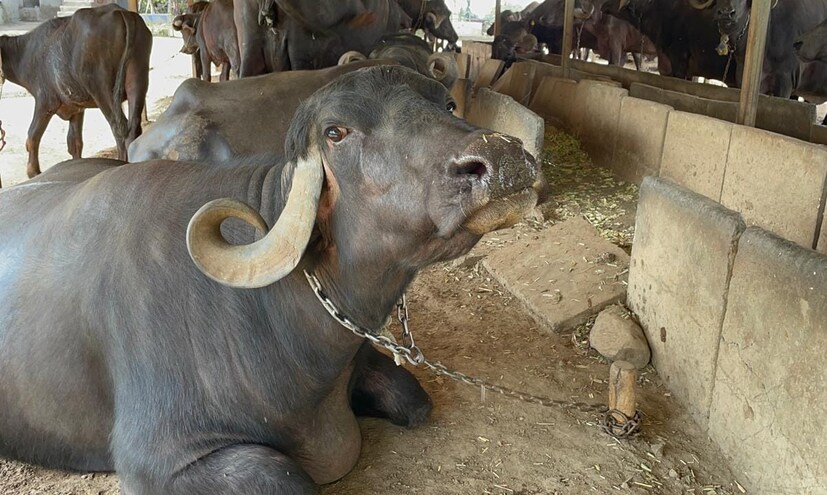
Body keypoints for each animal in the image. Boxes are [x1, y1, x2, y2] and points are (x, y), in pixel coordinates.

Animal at [0, 4, 151, 179]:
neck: (24, 55)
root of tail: (121, 12)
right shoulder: (77, 107)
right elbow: (74, 142)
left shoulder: (45, 101)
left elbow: (32, 135)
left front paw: (33, 171)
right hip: (138, 78)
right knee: (134, 127)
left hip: (101, 88)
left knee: (119, 128)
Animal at [0, 65, 548, 495]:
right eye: (336, 133)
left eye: (449, 103)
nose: (501, 158)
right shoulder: (161, 458)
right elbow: (287, 478)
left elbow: (415, 400)